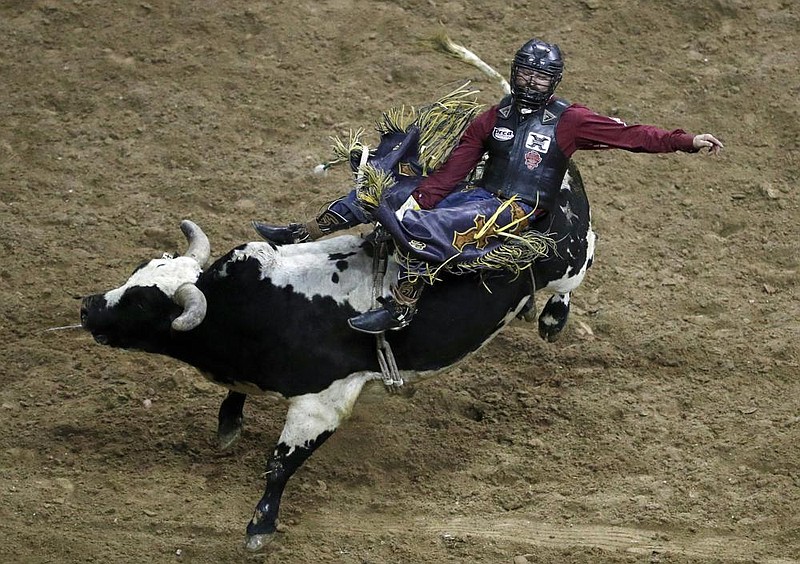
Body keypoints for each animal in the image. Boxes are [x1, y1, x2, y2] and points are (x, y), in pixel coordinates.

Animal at [79, 163, 594, 551]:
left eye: (141, 305)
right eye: (137, 272)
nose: (87, 307)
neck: (260, 307)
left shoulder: (322, 404)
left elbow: (280, 465)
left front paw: (260, 527)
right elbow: (236, 399)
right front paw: (229, 425)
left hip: (570, 257)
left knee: (579, 272)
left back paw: (552, 319)